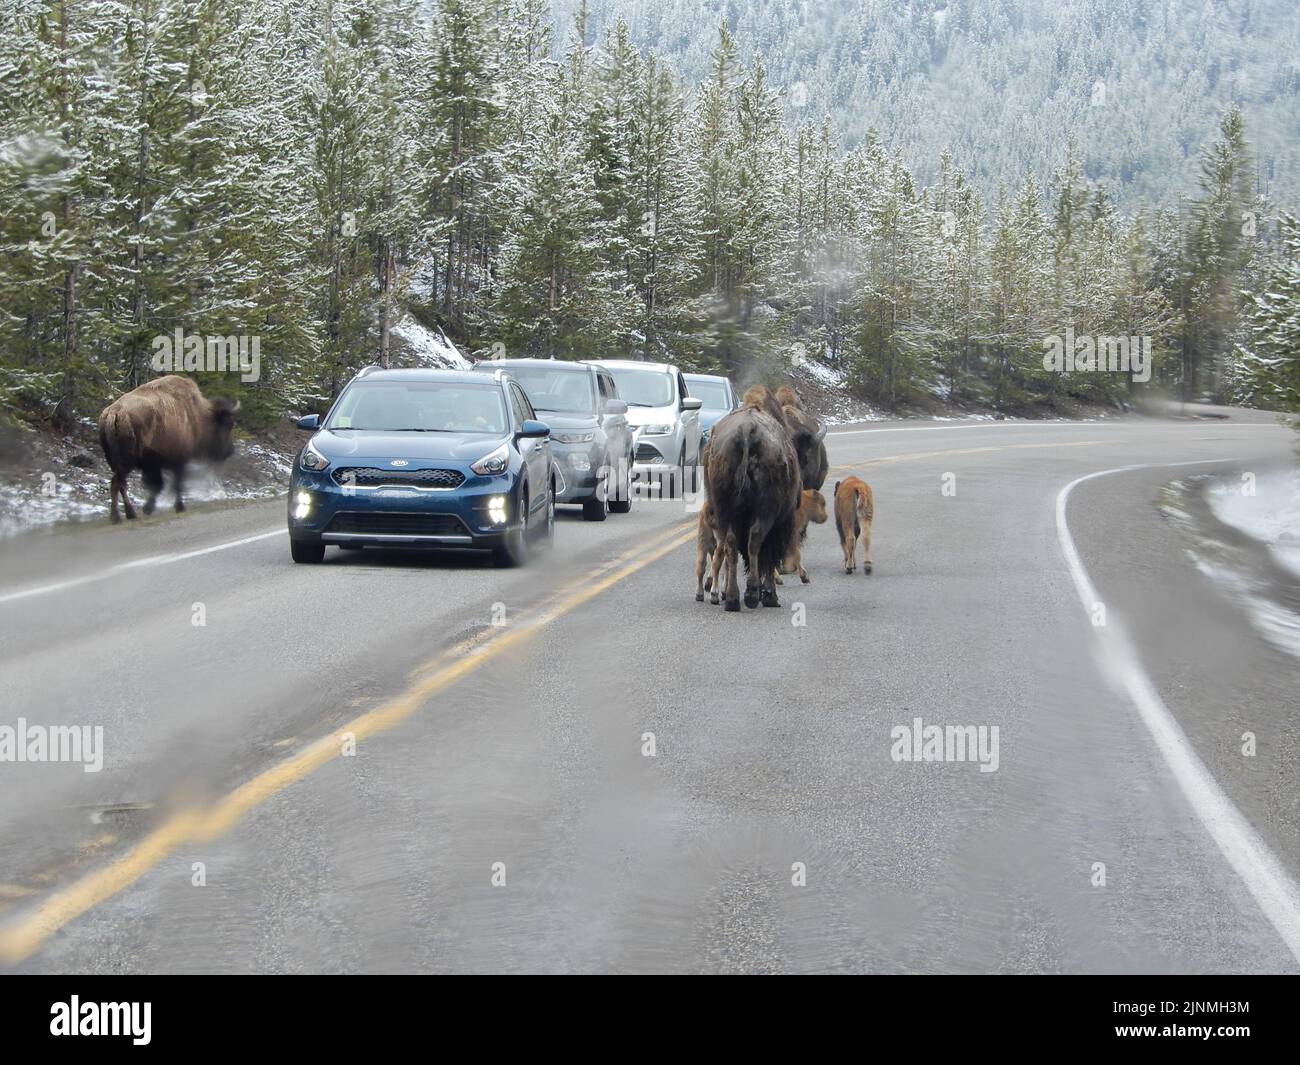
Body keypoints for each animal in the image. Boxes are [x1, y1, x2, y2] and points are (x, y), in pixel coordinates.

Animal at [98, 375, 239, 522]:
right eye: (228, 424)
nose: (230, 451)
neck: (196, 414)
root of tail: (114, 413)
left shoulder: (153, 465)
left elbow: (158, 485)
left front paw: (148, 508)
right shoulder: (178, 461)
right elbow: (175, 484)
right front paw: (179, 507)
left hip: (115, 462)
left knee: (121, 484)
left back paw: (129, 514)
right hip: (126, 462)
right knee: (117, 483)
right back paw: (119, 517)